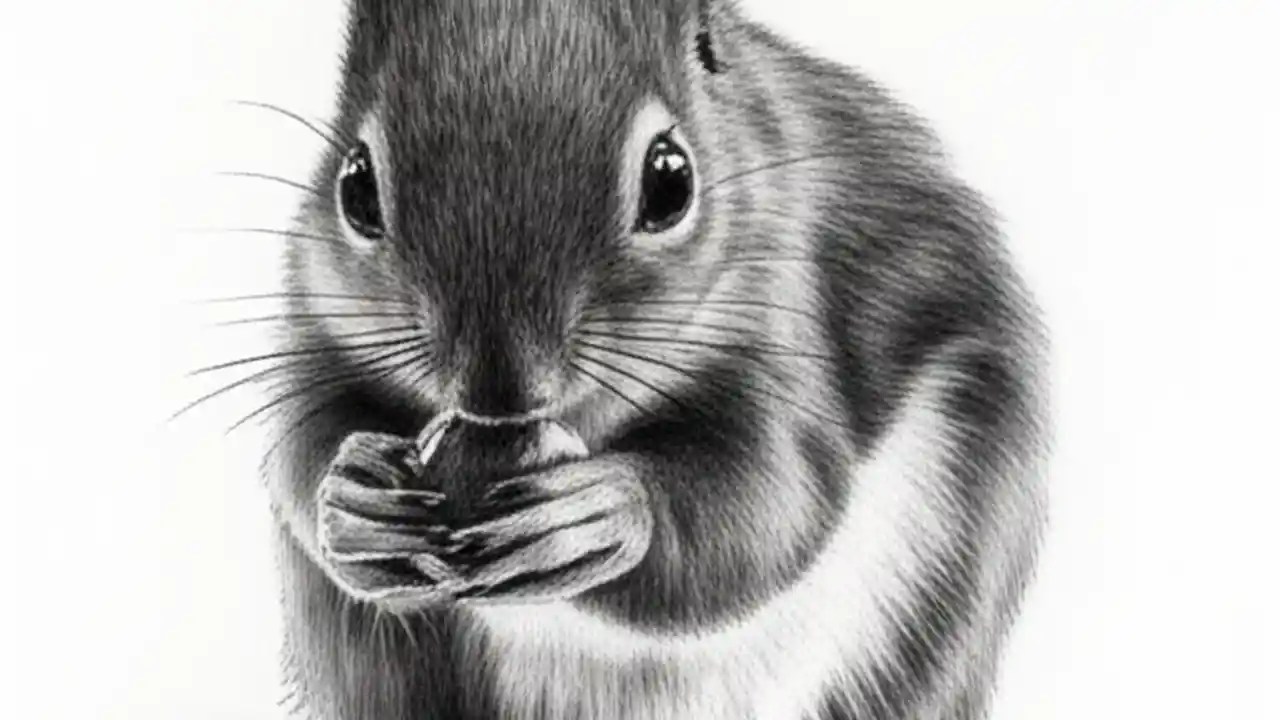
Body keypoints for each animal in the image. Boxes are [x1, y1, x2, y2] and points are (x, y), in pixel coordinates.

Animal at [246, 1, 1049, 718]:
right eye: (355, 187)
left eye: (672, 180)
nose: (498, 388)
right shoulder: (317, 313)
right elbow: (300, 449)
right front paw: (353, 499)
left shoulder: (785, 314)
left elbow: (773, 504)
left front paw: (605, 510)